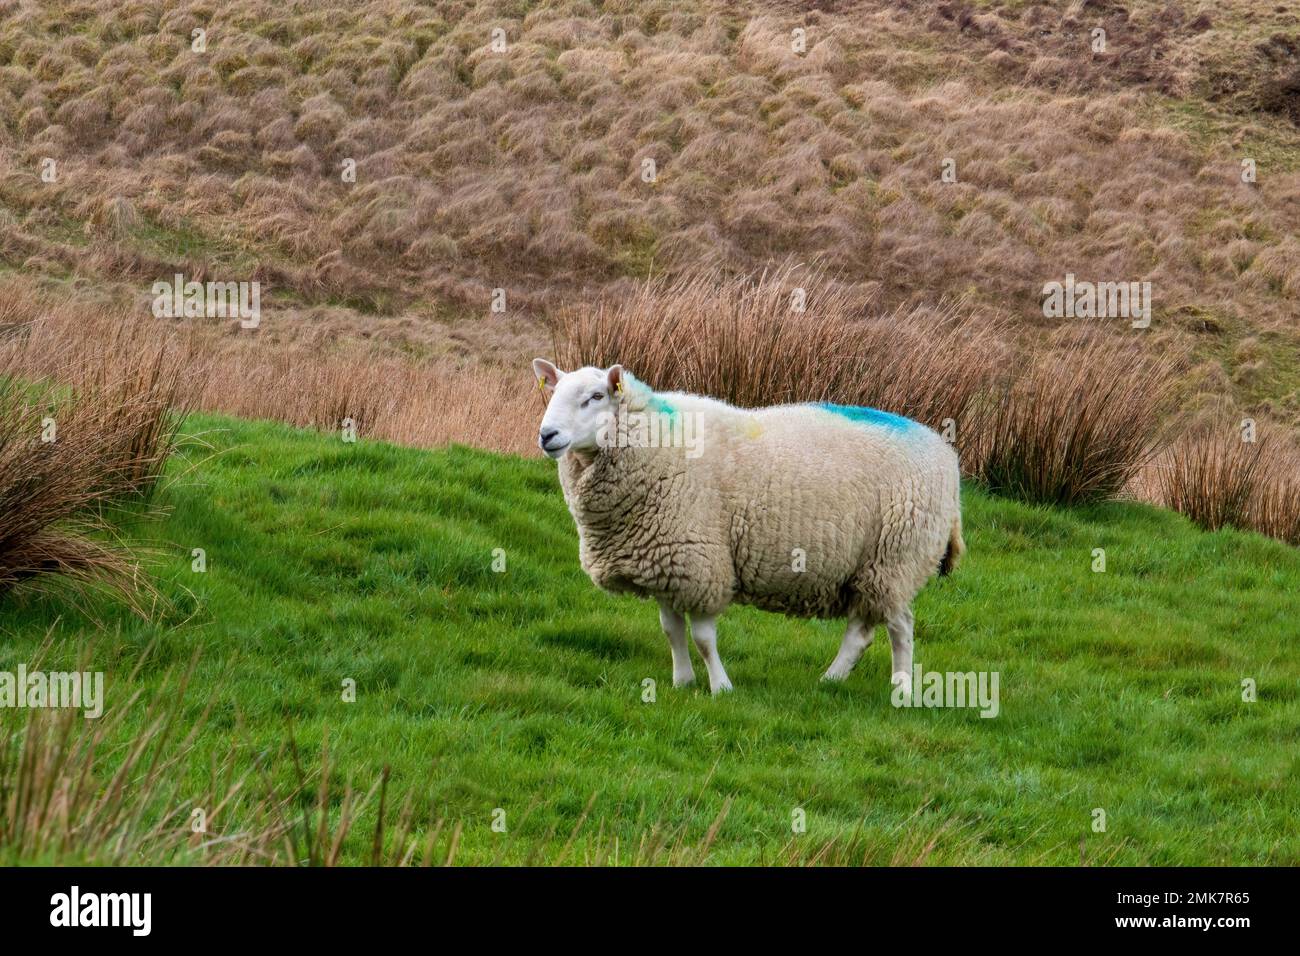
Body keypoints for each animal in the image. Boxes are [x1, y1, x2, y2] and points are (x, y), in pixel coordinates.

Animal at [531, 358, 964, 696]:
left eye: (595, 397)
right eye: (553, 394)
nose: (546, 435)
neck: (655, 441)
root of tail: (945, 452)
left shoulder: (702, 561)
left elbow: (703, 638)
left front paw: (720, 687)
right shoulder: (666, 560)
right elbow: (671, 630)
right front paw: (682, 681)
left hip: (897, 557)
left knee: (901, 628)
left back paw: (900, 689)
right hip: (869, 567)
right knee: (862, 631)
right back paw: (830, 681)